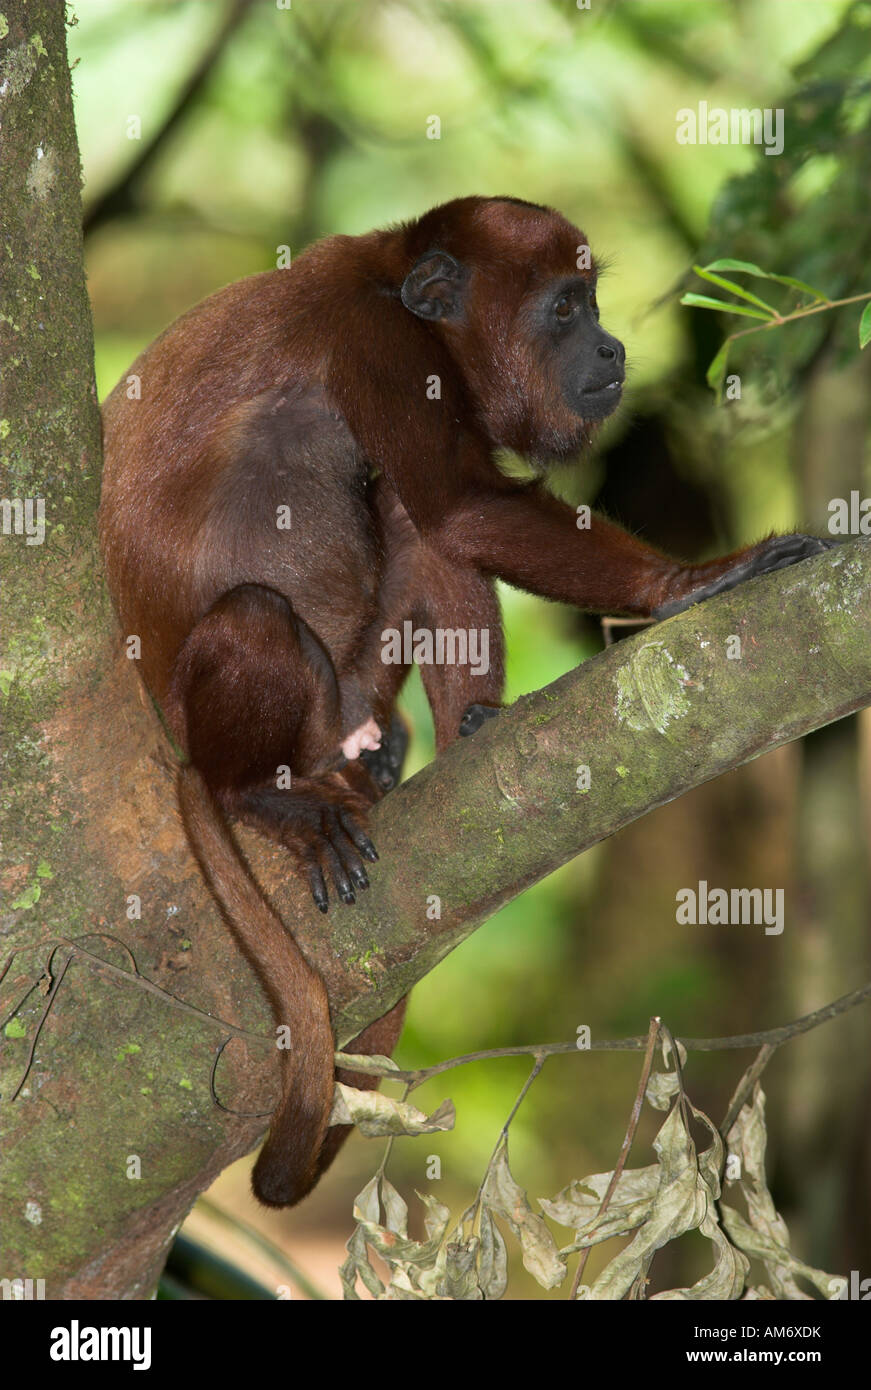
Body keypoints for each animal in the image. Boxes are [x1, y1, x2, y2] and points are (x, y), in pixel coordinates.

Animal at [99, 195, 835, 1207]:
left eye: (591, 302)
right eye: (565, 308)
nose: (610, 347)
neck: (395, 281)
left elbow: (444, 525)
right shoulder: (378, 343)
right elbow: (462, 503)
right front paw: (692, 583)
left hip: (350, 692)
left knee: (411, 531)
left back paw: (462, 736)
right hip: (265, 712)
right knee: (266, 609)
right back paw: (258, 794)